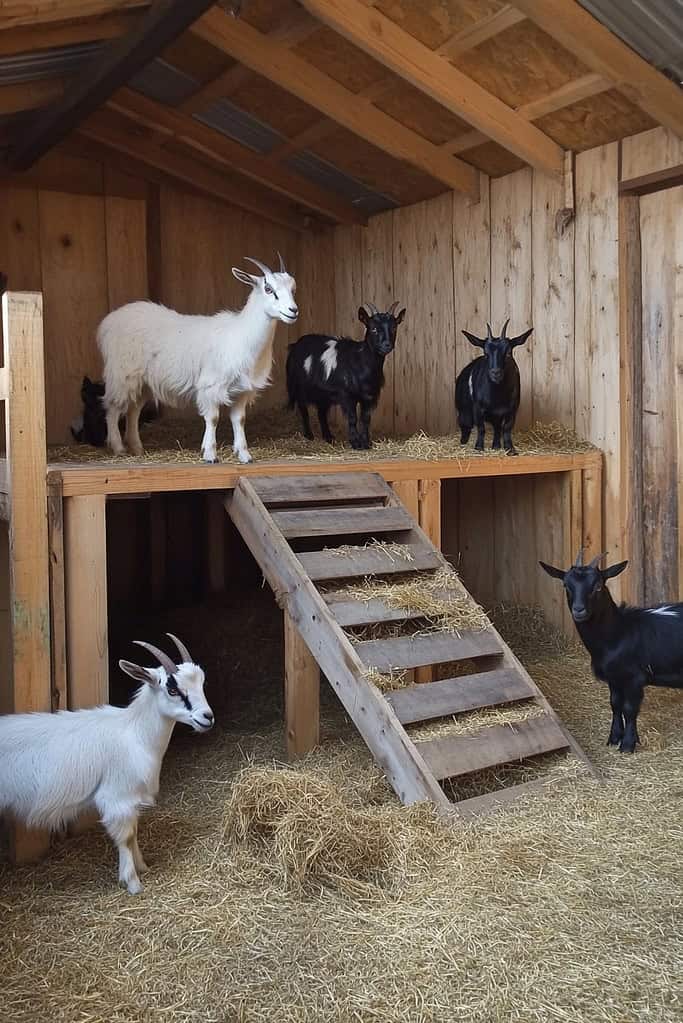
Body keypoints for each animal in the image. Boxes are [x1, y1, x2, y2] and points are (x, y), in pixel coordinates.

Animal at [0, 634, 213, 894]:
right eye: (172, 688)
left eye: (201, 683)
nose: (207, 717)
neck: (134, 733)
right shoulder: (117, 798)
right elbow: (125, 837)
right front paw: (133, 883)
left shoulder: (131, 799)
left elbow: (133, 834)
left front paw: (142, 866)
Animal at [97, 253, 298, 463]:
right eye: (269, 289)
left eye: (293, 288)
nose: (293, 310)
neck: (241, 335)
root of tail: (107, 322)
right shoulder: (210, 386)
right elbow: (213, 419)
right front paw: (209, 454)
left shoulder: (242, 390)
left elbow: (239, 420)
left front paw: (244, 455)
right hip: (122, 374)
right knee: (112, 408)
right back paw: (118, 447)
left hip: (142, 381)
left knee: (133, 411)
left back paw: (137, 448)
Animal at [286, 301, 405, 449]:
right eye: (373, 329)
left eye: (394, 327)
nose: (387, 345)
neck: (360, 360)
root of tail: (295, 345)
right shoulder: (346, 395)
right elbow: (353, 418)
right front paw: (355, 443)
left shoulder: (369, 396)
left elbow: (365, 419)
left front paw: (366, 442)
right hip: (300, 386)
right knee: (303, 409)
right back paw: (309, 435)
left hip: (323, 394)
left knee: (321, 413)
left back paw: (328, 437)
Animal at [455, 319, 533, 455]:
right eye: (486, 354)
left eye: (508, 353)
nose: (495, 373)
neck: (497, 397)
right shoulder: (478, 408)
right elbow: (481, 428)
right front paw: (479, 447)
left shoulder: (512, 409)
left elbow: (506, 428)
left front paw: (510, 449)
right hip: (463, 409)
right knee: (465, 425)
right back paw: (463, 443)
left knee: (497, 427)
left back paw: (496, 446)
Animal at [539, 551, 683, 753]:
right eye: (566, 585)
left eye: (598, 586)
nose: (579, 610)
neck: (620, 632)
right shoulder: (614, 678)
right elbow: (615, 704)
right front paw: (615, 738)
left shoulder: (634, 678)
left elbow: (629, 709)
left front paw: (628, 745)